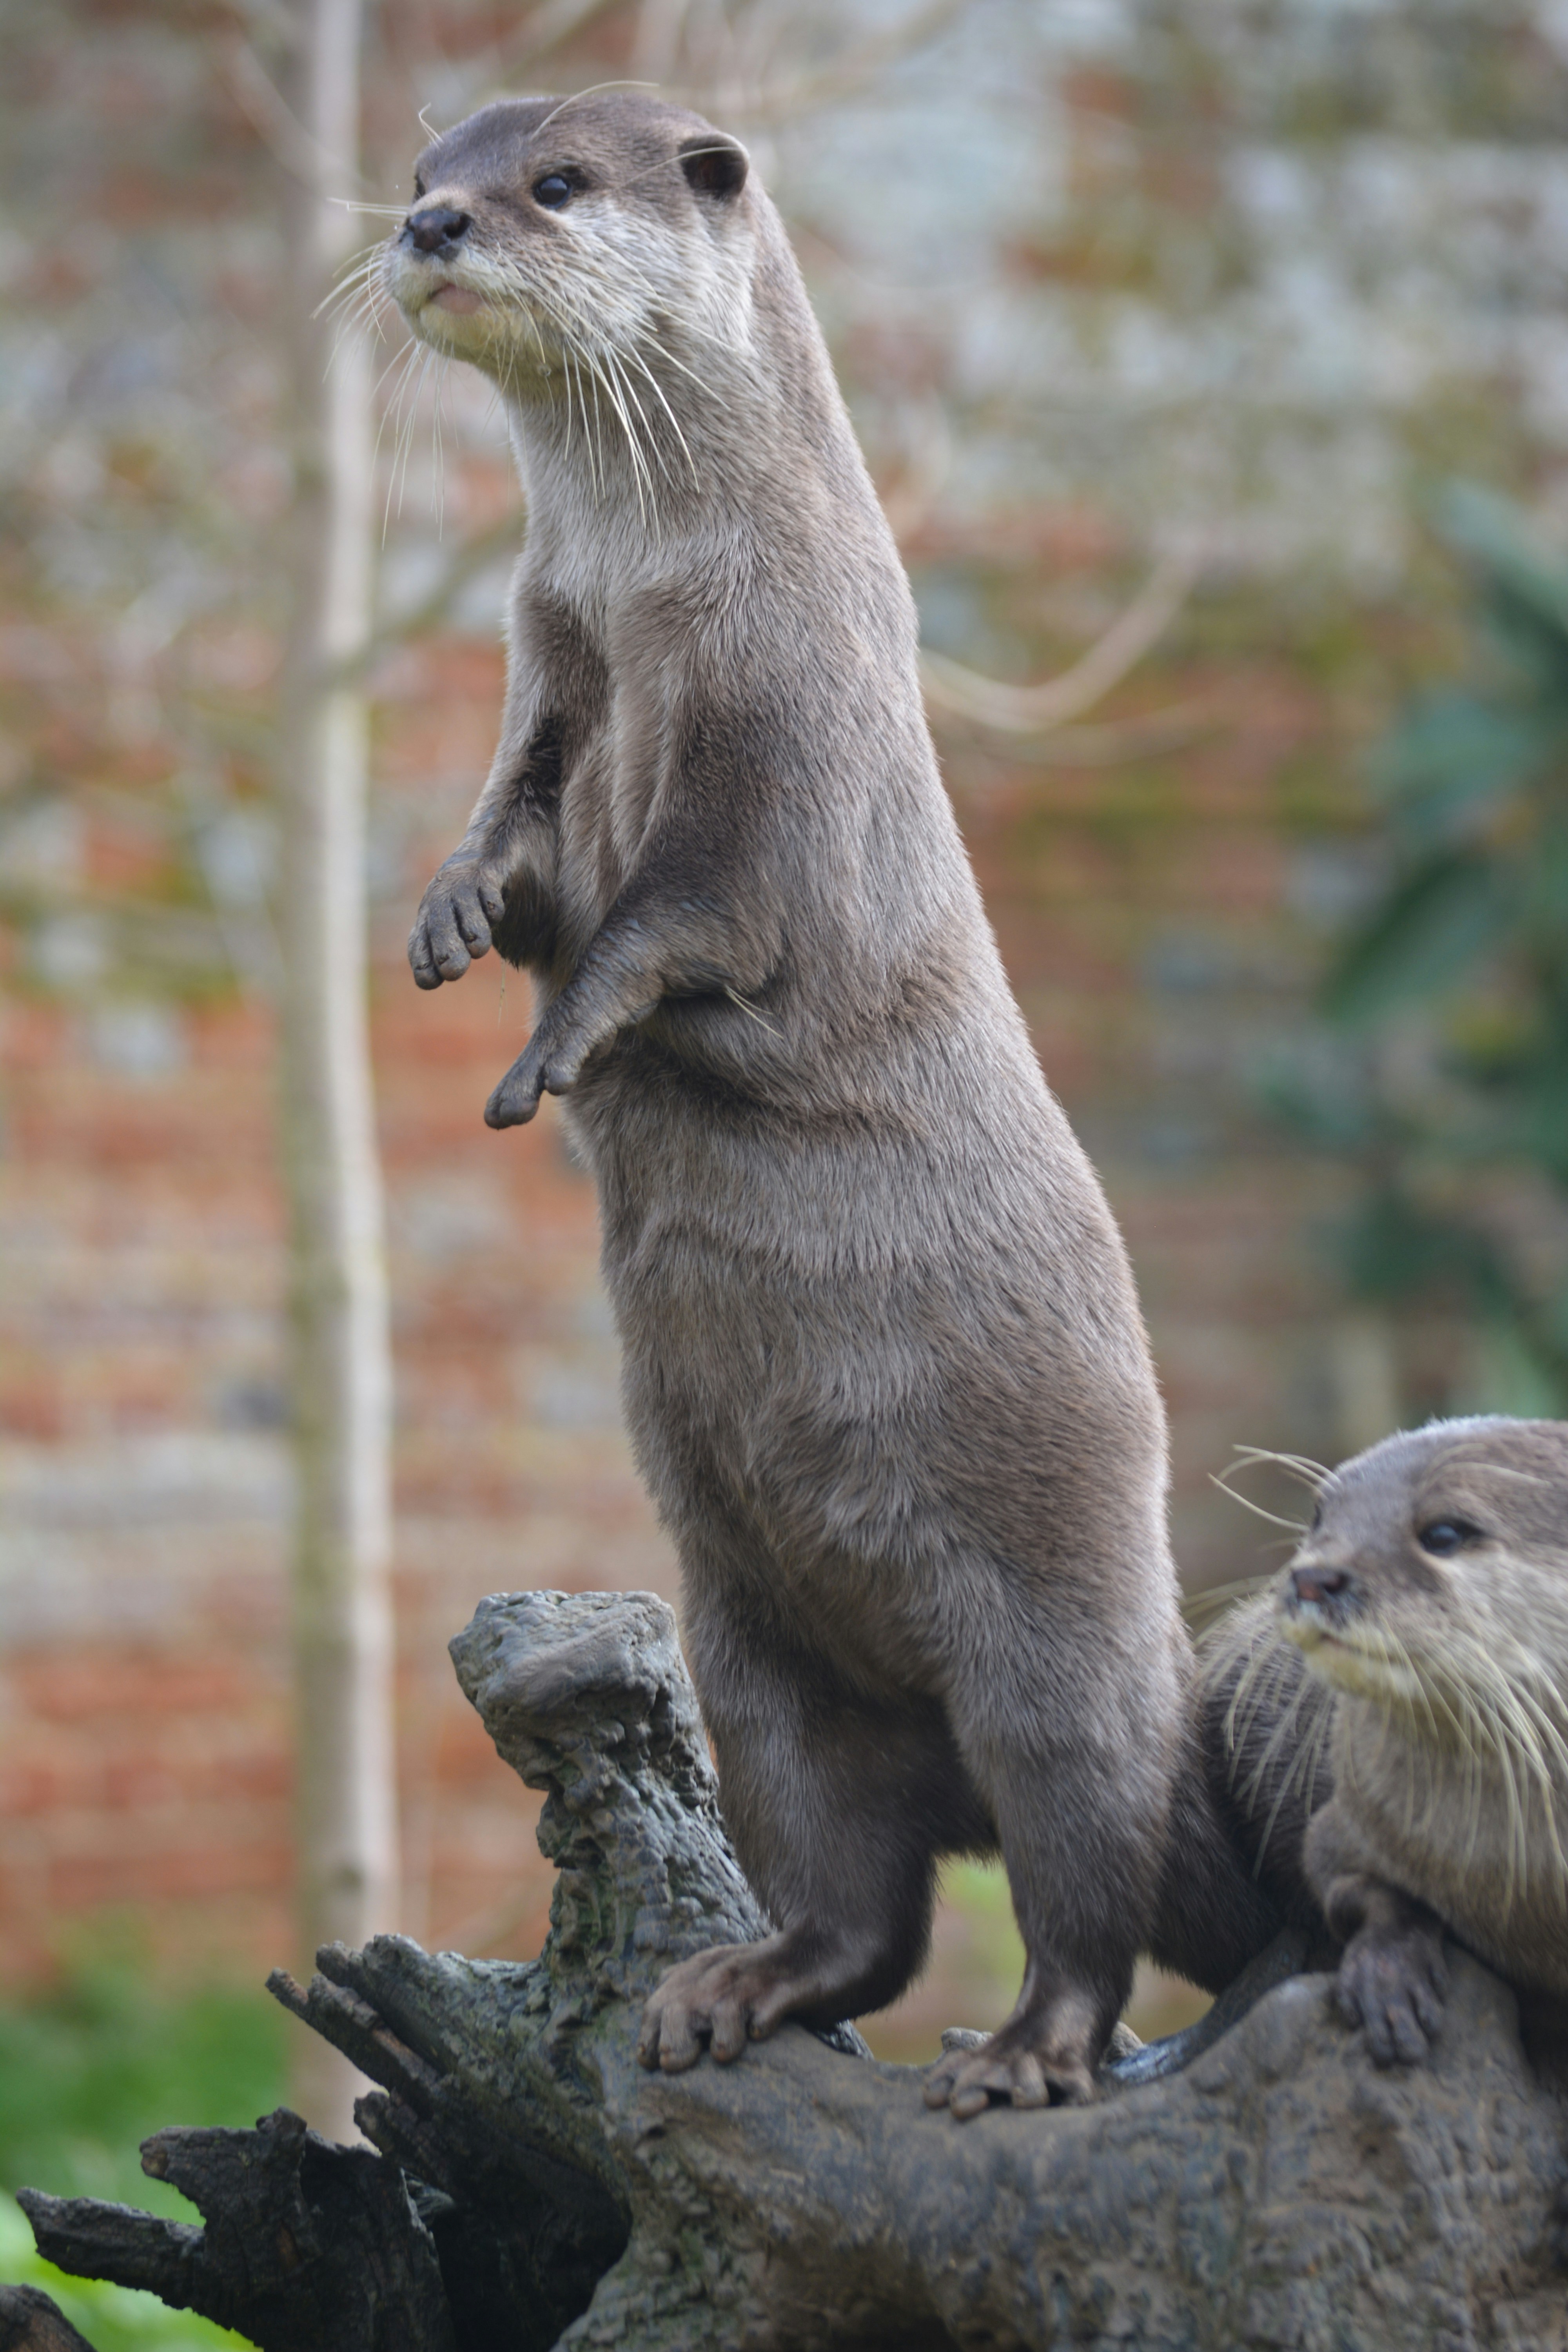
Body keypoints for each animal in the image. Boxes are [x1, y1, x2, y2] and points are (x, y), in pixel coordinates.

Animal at [388, 90, 1275, 2113]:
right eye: (429, 157)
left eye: (554, 183)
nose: (425, 226)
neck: (650, 599)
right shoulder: (544, 667)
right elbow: (516, 852)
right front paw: (447, 919)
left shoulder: (785, 743)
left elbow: (687, 928)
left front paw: (554, 1053)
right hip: (752, 1654)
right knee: (859, 1903)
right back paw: (732, 1986)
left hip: (1061, 1633)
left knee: (1089, 1874)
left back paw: (1024, 2053)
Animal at [1204, 1418, 1568, 2068]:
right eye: (1320, 1514)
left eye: (1445, 1533)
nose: (1312, 1577)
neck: (1527, 1879)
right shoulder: (1346, 1822)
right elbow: (1354, 1885)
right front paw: (1390, 1978)